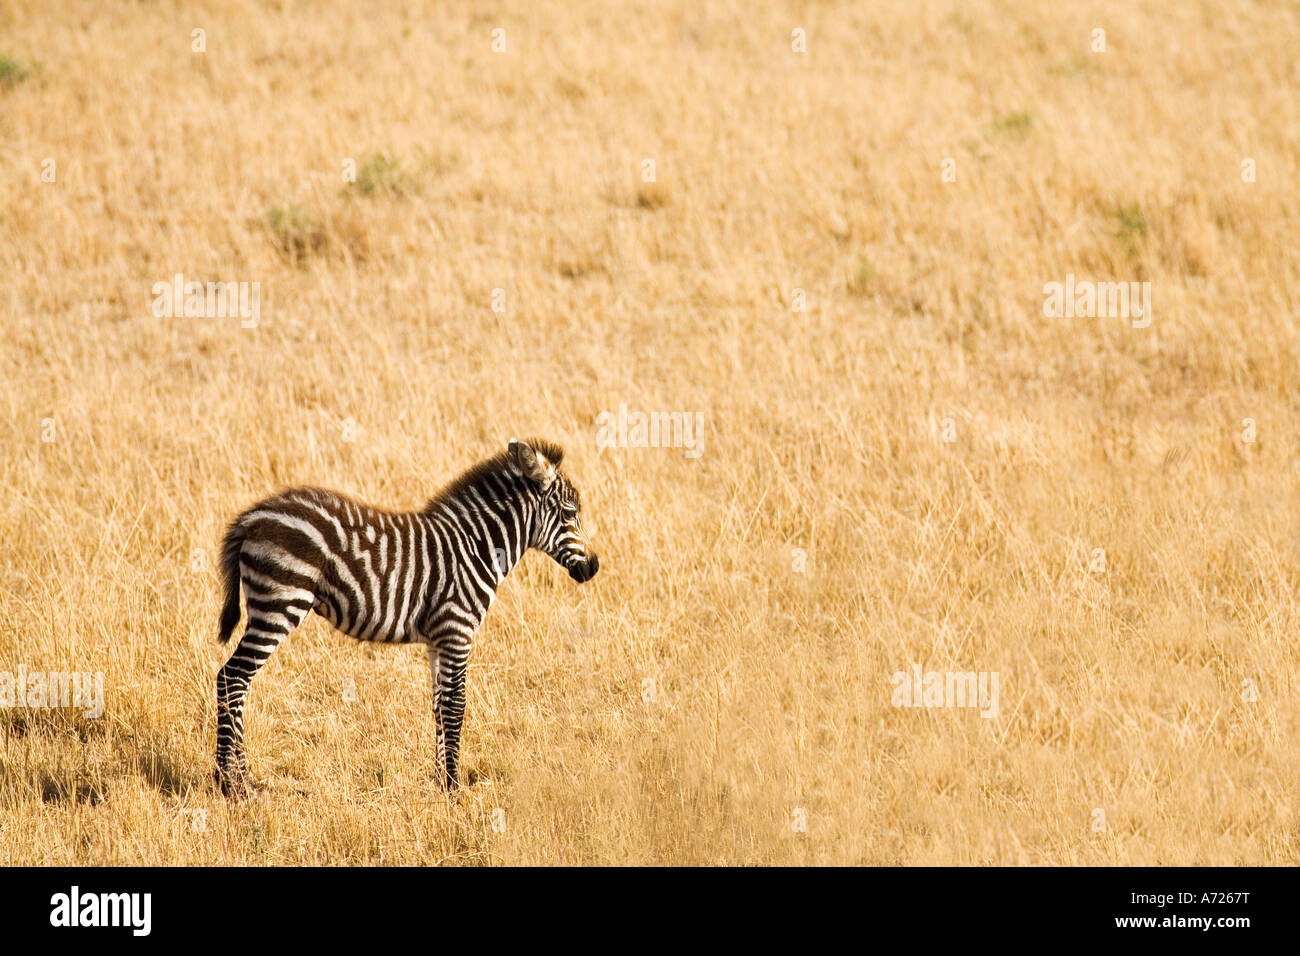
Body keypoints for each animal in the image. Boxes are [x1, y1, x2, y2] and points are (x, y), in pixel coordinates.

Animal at [213, 438, 599, 798]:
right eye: (570, 513)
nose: (594, 567)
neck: (476, 549)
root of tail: (253, 516)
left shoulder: (438, 641)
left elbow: (440, 707)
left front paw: (442, 781)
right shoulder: (457, 631)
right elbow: (457, 705)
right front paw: (455, 787)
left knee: (237, 681)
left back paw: (241, 778)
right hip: (280, 603)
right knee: (233, 677)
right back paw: (231, 784)